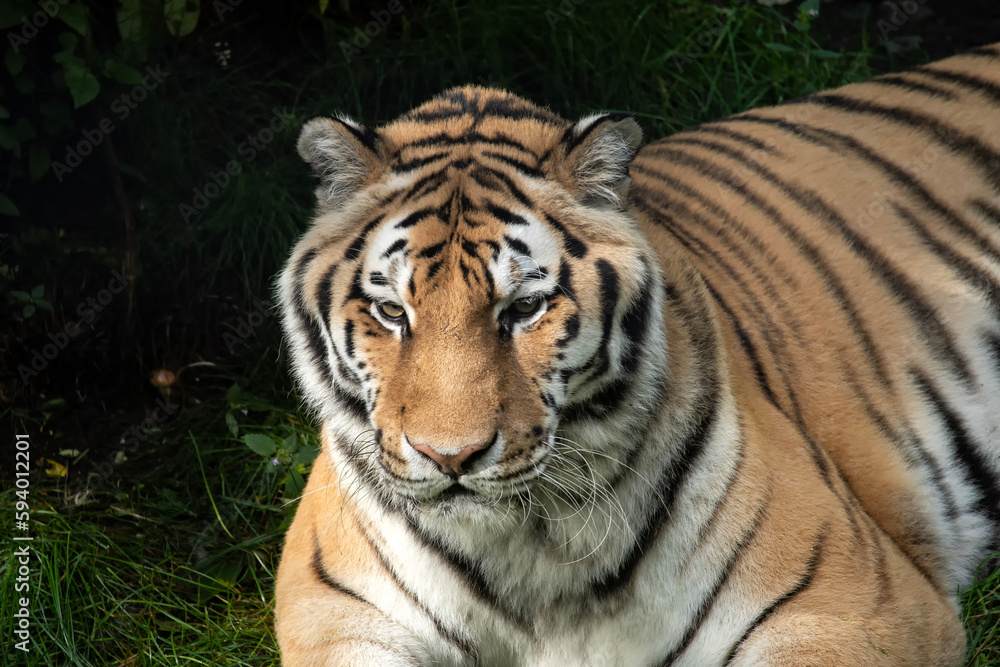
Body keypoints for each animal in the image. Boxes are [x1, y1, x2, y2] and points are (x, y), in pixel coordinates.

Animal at [274, 43, 1000, 666]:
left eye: (525, 308)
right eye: (392, 312)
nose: (450, 457)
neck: (529, 550)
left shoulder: (853, 602)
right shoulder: (333, 607)